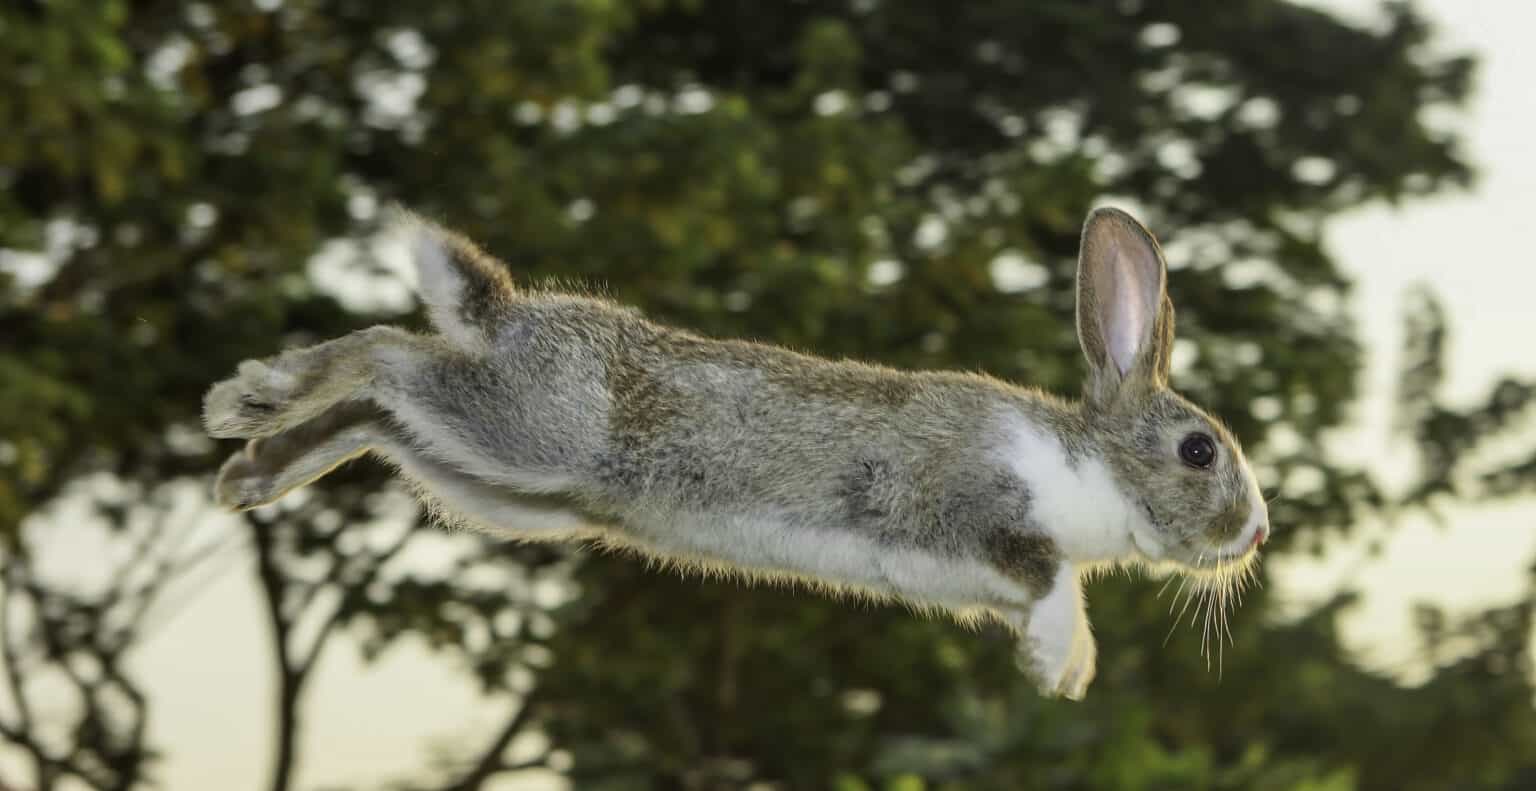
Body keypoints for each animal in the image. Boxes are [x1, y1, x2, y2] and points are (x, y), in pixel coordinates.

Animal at [203, 205, 1270, 700]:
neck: (1085, 463)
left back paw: (252, 467)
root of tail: (504, 315)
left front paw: (1061, 666)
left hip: (497, 479)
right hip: (528, 432)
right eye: (1198, 450)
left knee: (379, 411)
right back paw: (246, 395)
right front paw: (1065, 665)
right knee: (384, 354)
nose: (1257, 533)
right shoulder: (963, 502)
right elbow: (1053, 579)